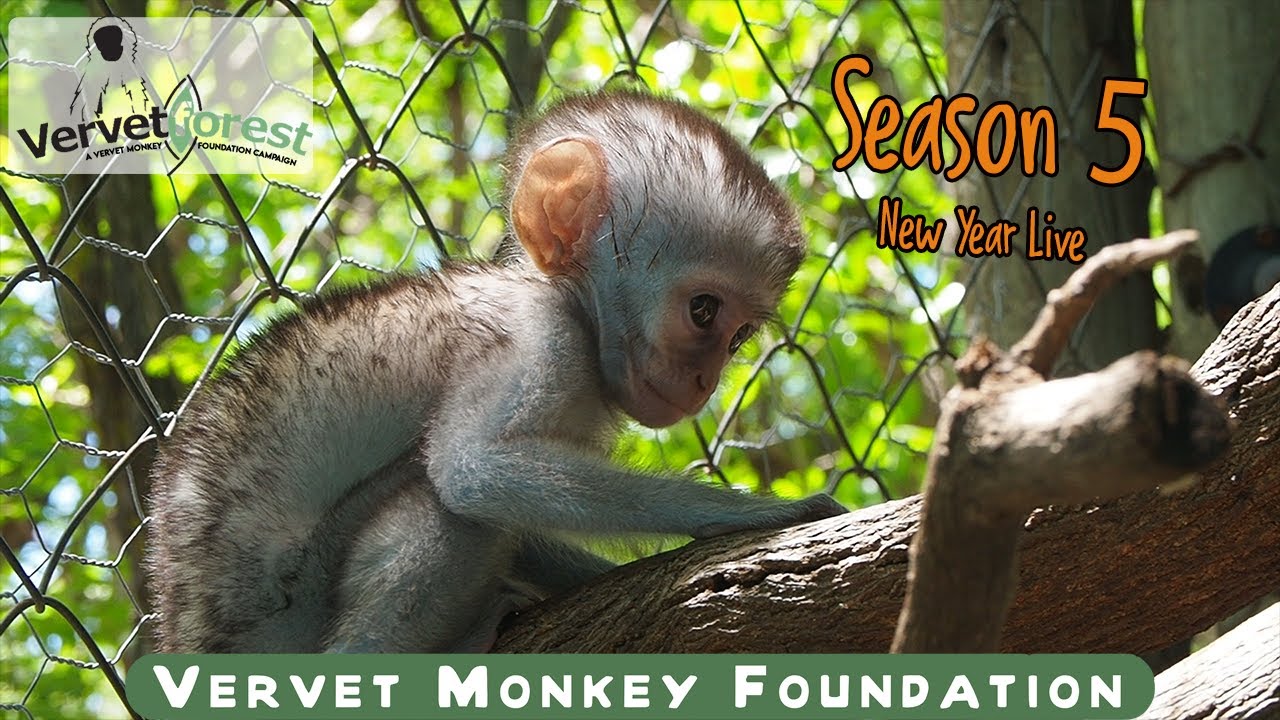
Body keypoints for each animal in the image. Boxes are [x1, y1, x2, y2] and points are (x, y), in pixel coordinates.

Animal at [147, 90, 848, 654]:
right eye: (703, 311)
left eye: (739, 337)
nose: (705, 383)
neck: (567, 299)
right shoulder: (540, 340)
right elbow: (474, 470)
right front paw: (752, 514)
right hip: (290, 611)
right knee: (442, 508)